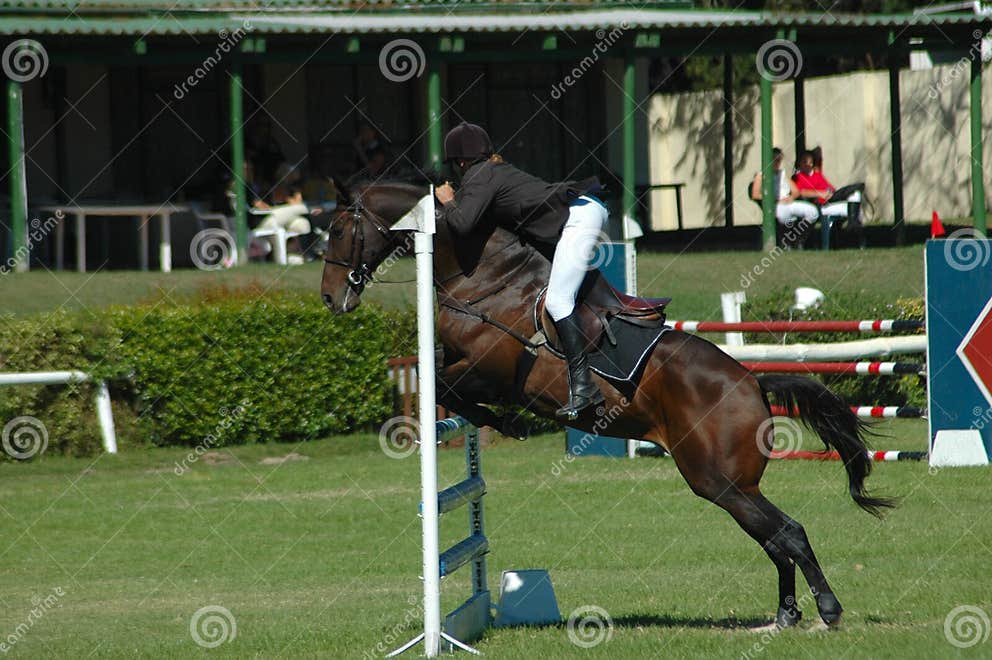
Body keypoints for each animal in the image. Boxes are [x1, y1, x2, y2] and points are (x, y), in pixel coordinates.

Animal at [320, 180, 894, 630]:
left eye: (340, 230)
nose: (329, 298)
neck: (482, 276)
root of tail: (750, 381)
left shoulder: (490, 369)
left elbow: (445, 386)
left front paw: (508, 421)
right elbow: (433, 375)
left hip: (719, 480)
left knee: (787, 533)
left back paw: (827, 610)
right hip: (730, 485)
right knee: (775, 539)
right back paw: (786, 615)